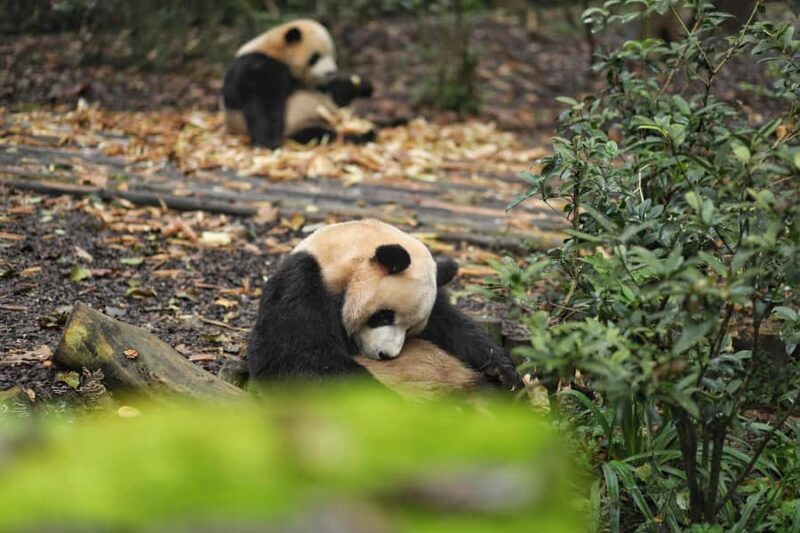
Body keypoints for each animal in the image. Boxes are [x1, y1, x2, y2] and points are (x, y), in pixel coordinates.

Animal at [222, 19, 374, 148]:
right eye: (315, 57)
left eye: (332, 54)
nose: (330, 72)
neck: (276, 49)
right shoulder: (258, 64)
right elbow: (262, 100)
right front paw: (268, 142)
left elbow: (337, 95)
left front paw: (361, 85)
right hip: (300, 124)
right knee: (319, 134)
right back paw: (361, 136)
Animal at [246, 219, 523, 396]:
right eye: (383, 317)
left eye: (411, 329)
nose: (386, 355)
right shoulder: (303, 284)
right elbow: (297, 359)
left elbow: (453, 327)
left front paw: (504, 373)